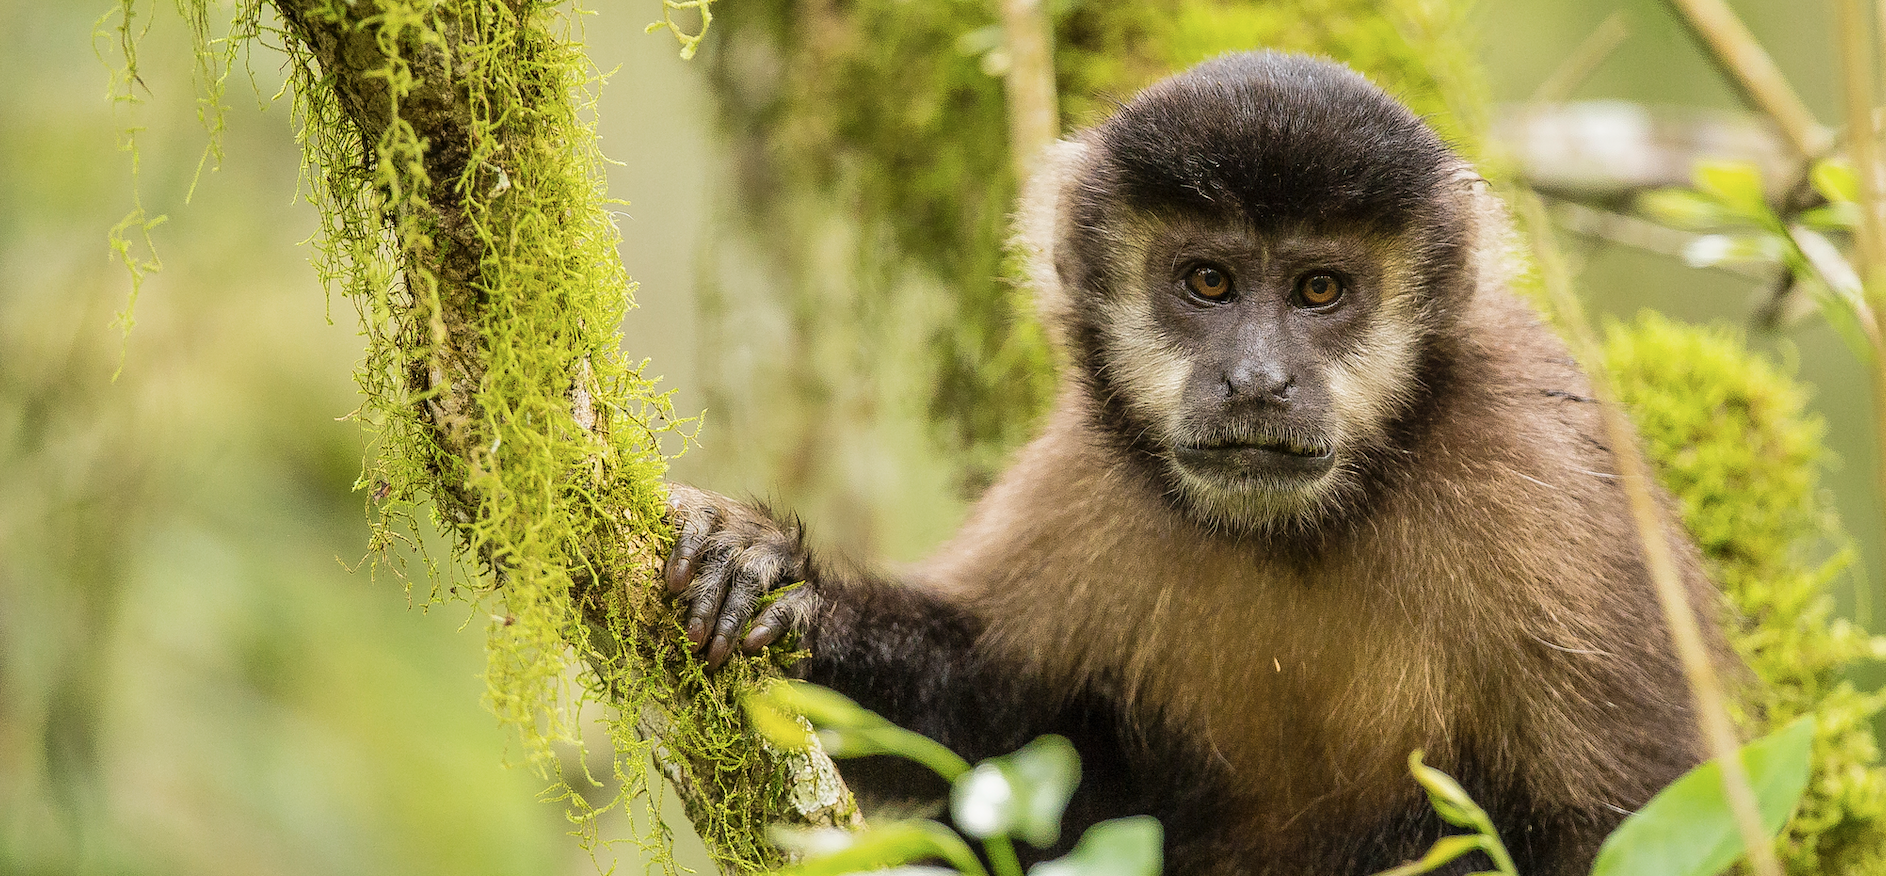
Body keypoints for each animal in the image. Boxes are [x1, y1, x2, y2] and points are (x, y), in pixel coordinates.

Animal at [660, 53, 1727, 876]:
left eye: (1319, 290)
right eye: (1208, 282)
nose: (1256, 380)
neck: (1311, 526)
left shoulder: (1544, 489)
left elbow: (1622, 819)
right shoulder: (1090, 475)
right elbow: (1003, 722)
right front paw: (774, 577)